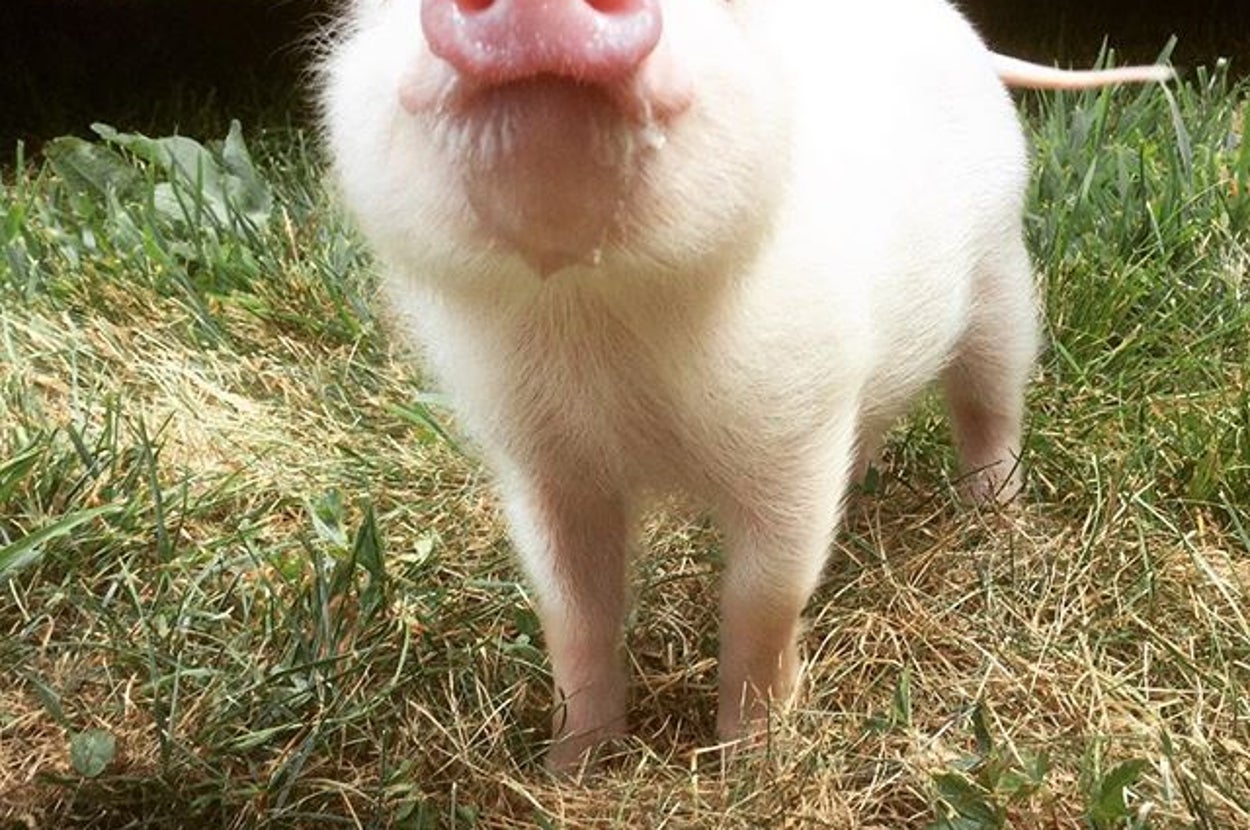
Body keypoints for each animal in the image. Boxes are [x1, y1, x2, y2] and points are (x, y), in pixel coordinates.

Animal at [319, 0, 1171, 770]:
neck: (600, 328)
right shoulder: (540, 456)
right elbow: (573, 608)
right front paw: (570, 769)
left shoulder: (796, 424)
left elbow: (764, 598)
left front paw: (750, 763)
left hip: (1000, 268)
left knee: (991, 400)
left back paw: (995, 521)